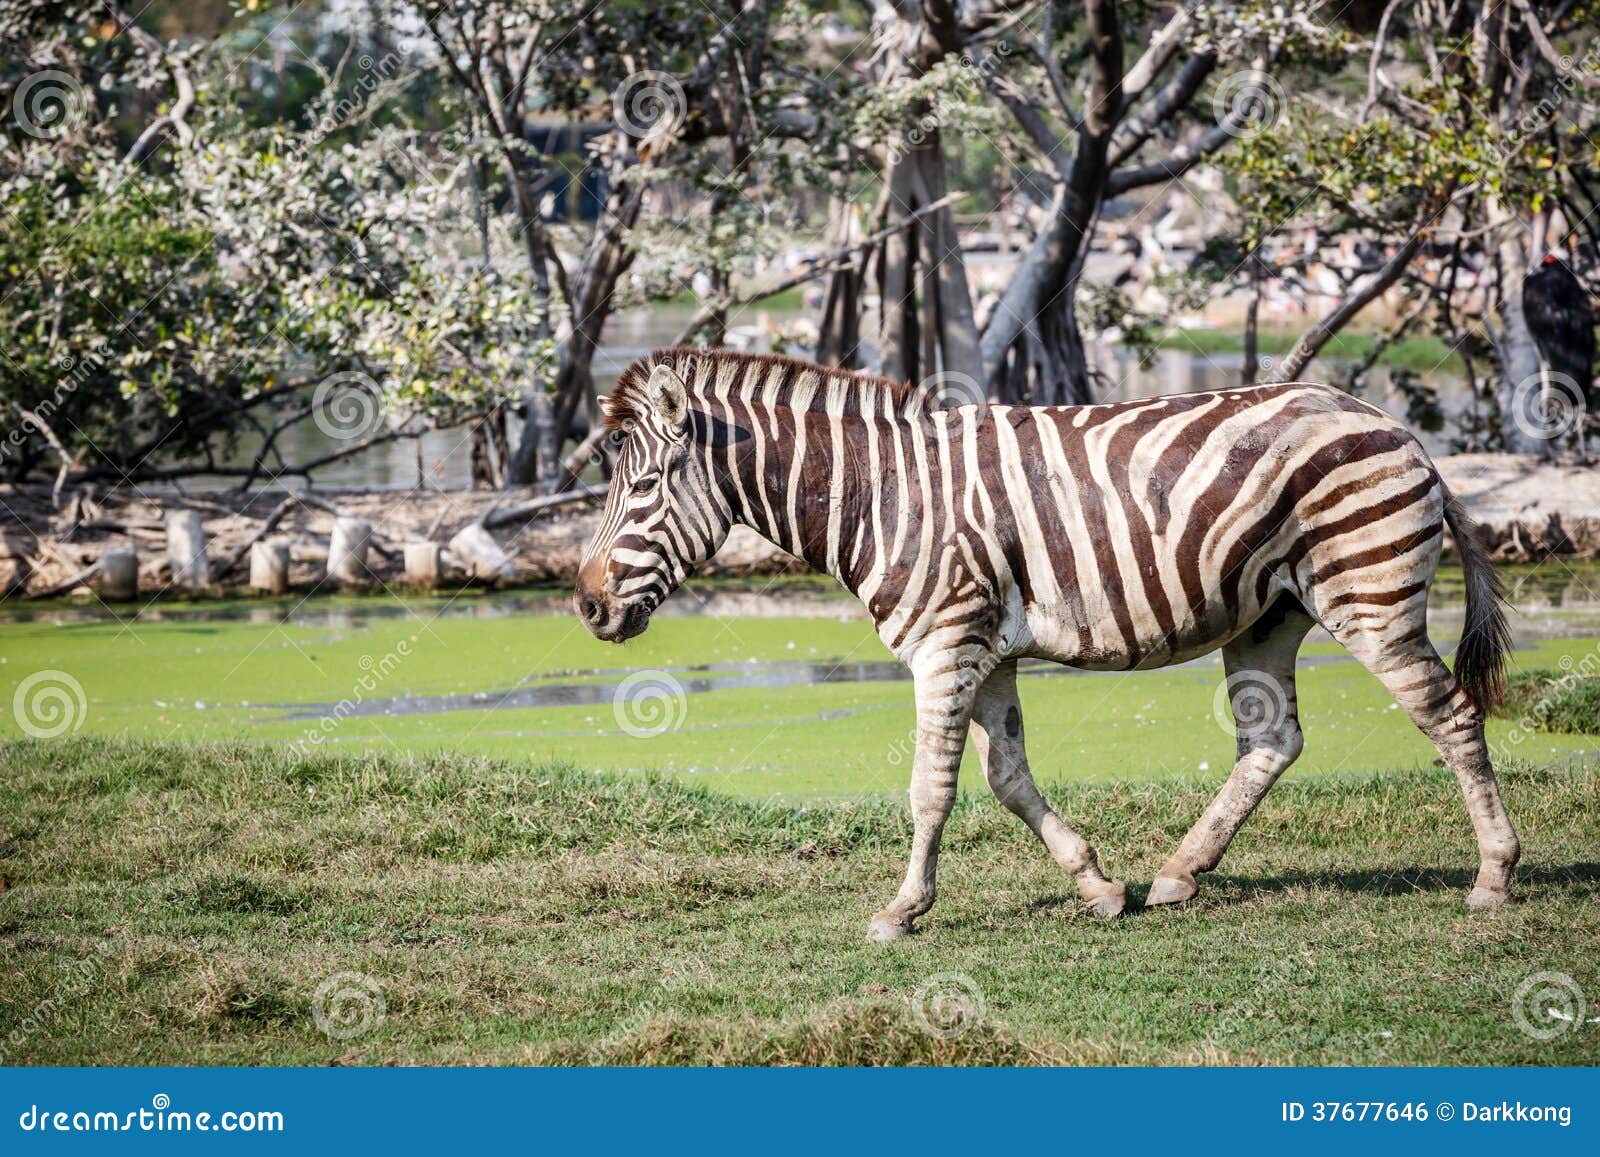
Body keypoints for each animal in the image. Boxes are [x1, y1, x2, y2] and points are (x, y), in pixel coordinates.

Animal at [575, 348, 1519, 941]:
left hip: (1368, 594)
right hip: (1270, 612)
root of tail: (1397, 427)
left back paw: (1493, 878)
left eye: (644, 484)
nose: (585, 604)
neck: (881, 496)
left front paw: (901, 910)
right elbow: (1008, 777)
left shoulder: (945, 644)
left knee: (1450, 717)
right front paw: (1097, 885)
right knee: (1272, 739)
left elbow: (930, 790)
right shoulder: (984, 650)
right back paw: (1179, 871)